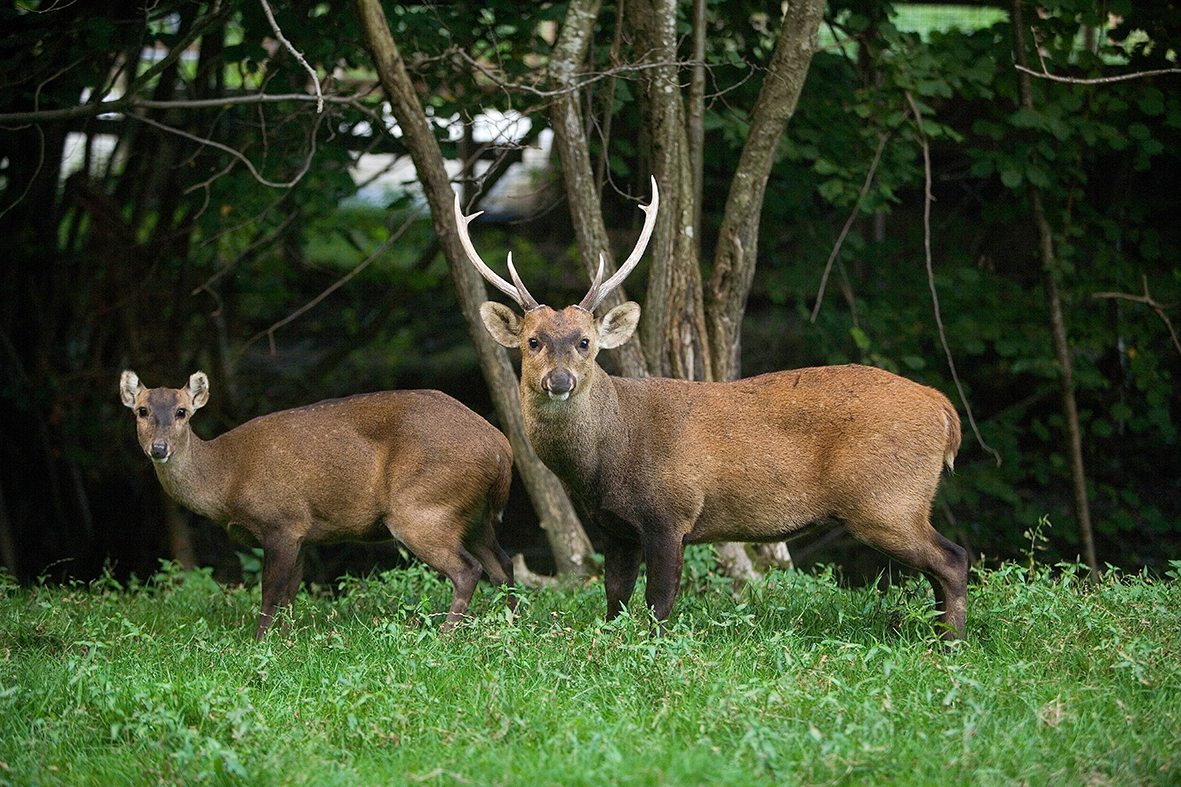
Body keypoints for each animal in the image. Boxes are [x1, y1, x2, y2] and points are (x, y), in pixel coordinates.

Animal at [120, 370, 516, 639]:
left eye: (182, 411)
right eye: (141, 410)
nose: (159, 448)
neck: (227, 479)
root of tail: (501, 448)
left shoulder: (281, 521)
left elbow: (271, 593)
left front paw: (257, 642)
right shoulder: (303, 533)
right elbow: (290, 594)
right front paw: (285, 639)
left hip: (421, 506)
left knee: (468, 570)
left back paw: (445, 636)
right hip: (473, 515)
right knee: (503, 565)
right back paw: (512, 626)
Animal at [457, 178, 969, 641]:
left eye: (585, 341)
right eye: (532, 341)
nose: (559, 381)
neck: (605, 459)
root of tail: (945, 411)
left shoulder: (671, 513)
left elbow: (659, 604)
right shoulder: (616, 528)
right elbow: (614, 599)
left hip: (886, 499)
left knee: (954, 559)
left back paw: (951, 645)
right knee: (943, 566)